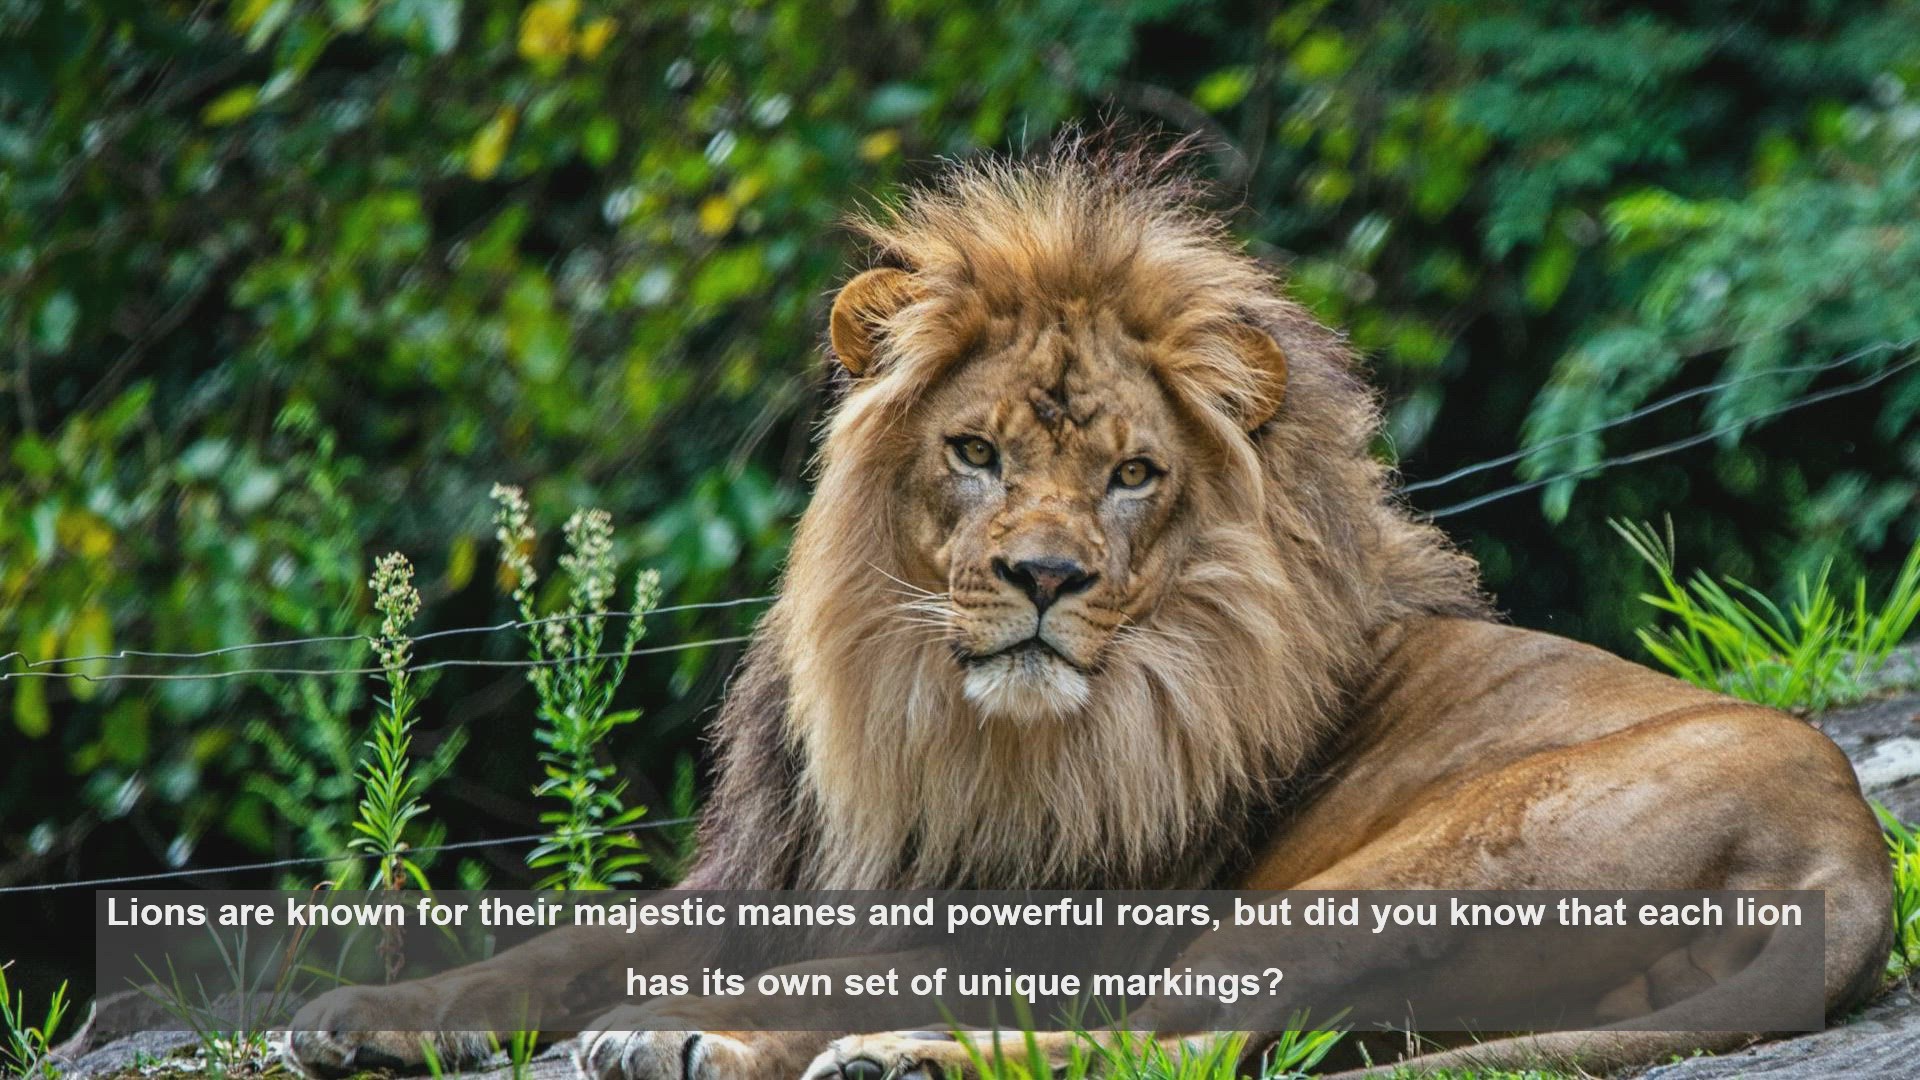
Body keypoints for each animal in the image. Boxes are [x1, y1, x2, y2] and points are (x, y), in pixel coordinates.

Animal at [282, 141, 1891, 1079]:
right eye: (976, 452)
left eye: (1131, 475)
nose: (1045, 580)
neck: (929, 725)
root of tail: (1850, 859)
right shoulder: (790, 874)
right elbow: (567, 943)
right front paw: (365, 1018)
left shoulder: (1055, 904)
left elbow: (820, 973)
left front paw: (682, 1026)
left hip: (1396, 876)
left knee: (1170, 1039)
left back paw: (870, 1054)